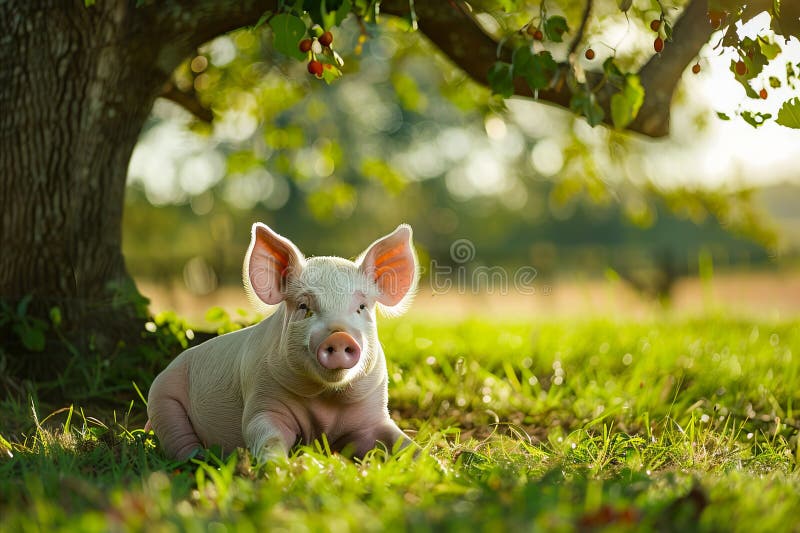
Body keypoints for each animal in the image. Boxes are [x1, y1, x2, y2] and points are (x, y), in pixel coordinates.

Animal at [146, 223, 419, 463]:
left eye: (361, 307)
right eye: (304, 307)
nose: (339, 336)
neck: (325, 401)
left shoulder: (373, 412)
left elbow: (399, 441)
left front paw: (428, 462)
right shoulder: (263, 398)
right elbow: (266, 435)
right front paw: (278, 468)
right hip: (161, 396)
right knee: (177, 439)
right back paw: (197, 457)